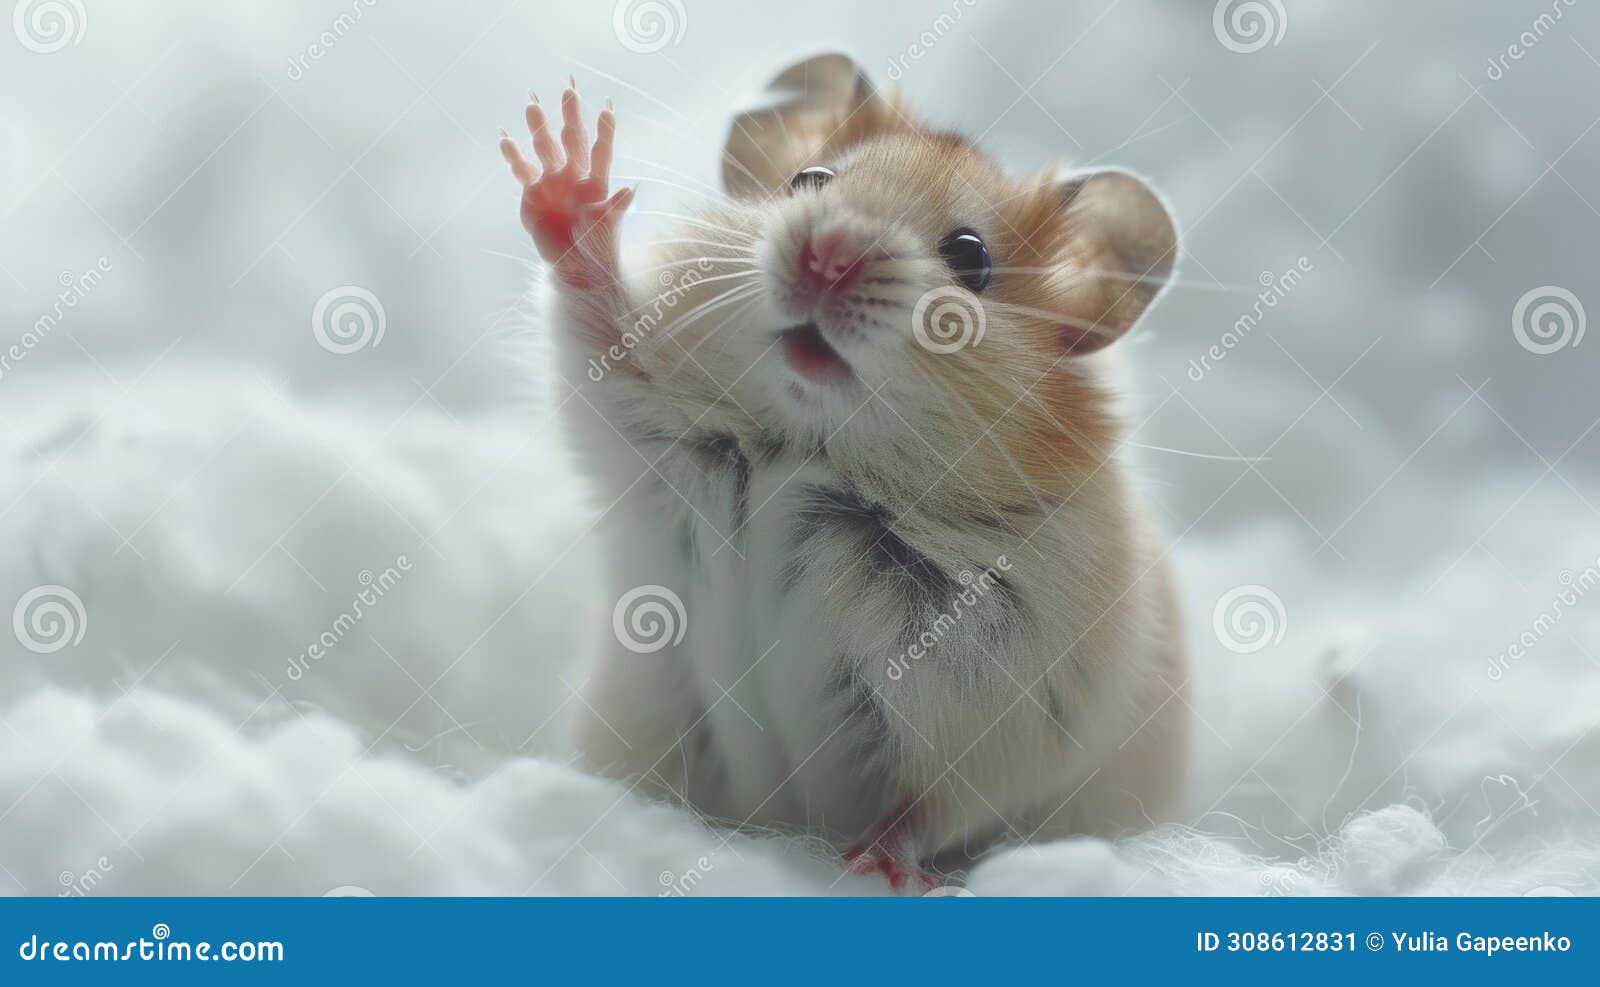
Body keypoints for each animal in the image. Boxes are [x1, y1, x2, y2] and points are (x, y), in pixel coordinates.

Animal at [499, 54, 1188, 890]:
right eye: (808, 180)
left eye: (972, 256)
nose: (828, 254)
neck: (811, 447)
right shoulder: (639, 417)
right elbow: (595, 321)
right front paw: (565, 172)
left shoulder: (1017, 718)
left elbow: (933, 806)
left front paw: (875, 866)